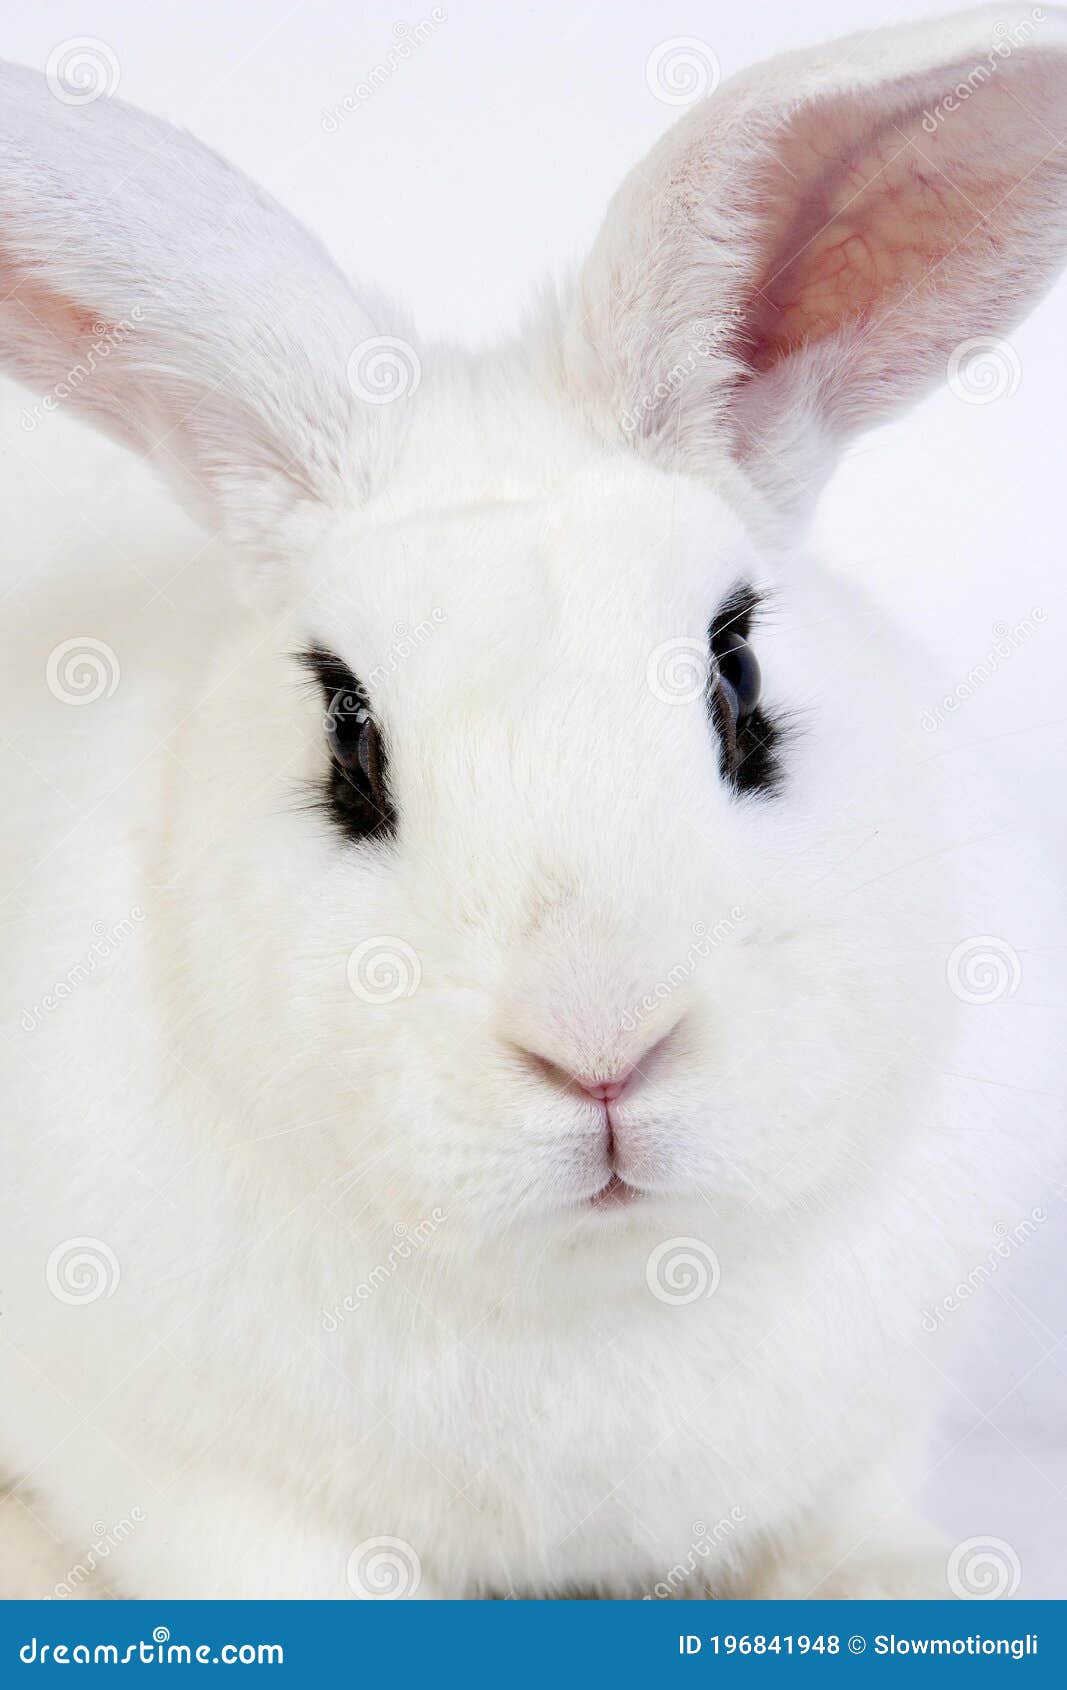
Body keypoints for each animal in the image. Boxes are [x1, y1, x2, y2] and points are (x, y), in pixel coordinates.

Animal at [1, 4, 1066, 1601]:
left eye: (737, 679)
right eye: (348, 739)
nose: (600, 1044)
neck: (596, 1290)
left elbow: (845, 1528)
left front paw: (907, 1580)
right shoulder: (187, 1477)